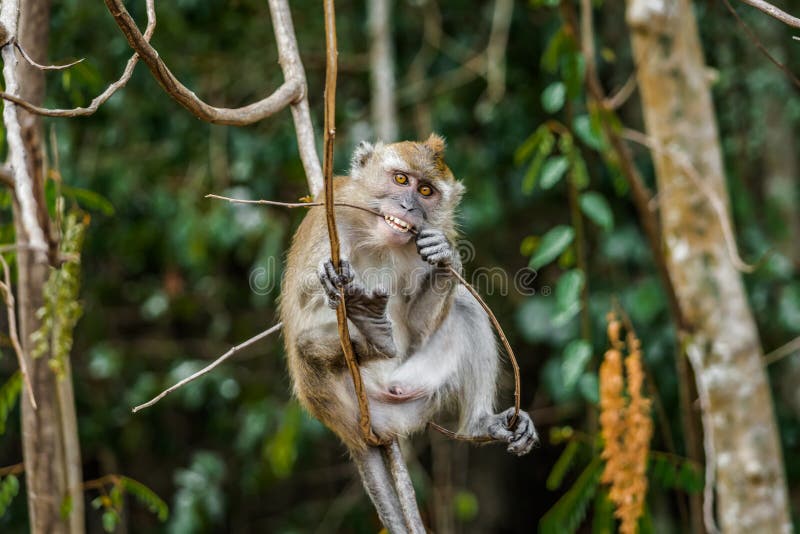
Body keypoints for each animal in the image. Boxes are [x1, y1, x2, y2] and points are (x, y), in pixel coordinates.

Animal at [279, 134, 537, 532]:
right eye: (401, 180)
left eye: (426, 191)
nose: (409, 206)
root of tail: (352, 430)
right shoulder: (331, 216)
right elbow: (306, 299)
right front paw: (334, 283)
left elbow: (418, 326)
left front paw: (445, 257)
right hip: (333, 394)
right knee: (305, 343)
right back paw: (372, 334)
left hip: (411, 394)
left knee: (465, 306)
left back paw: (481, 424)